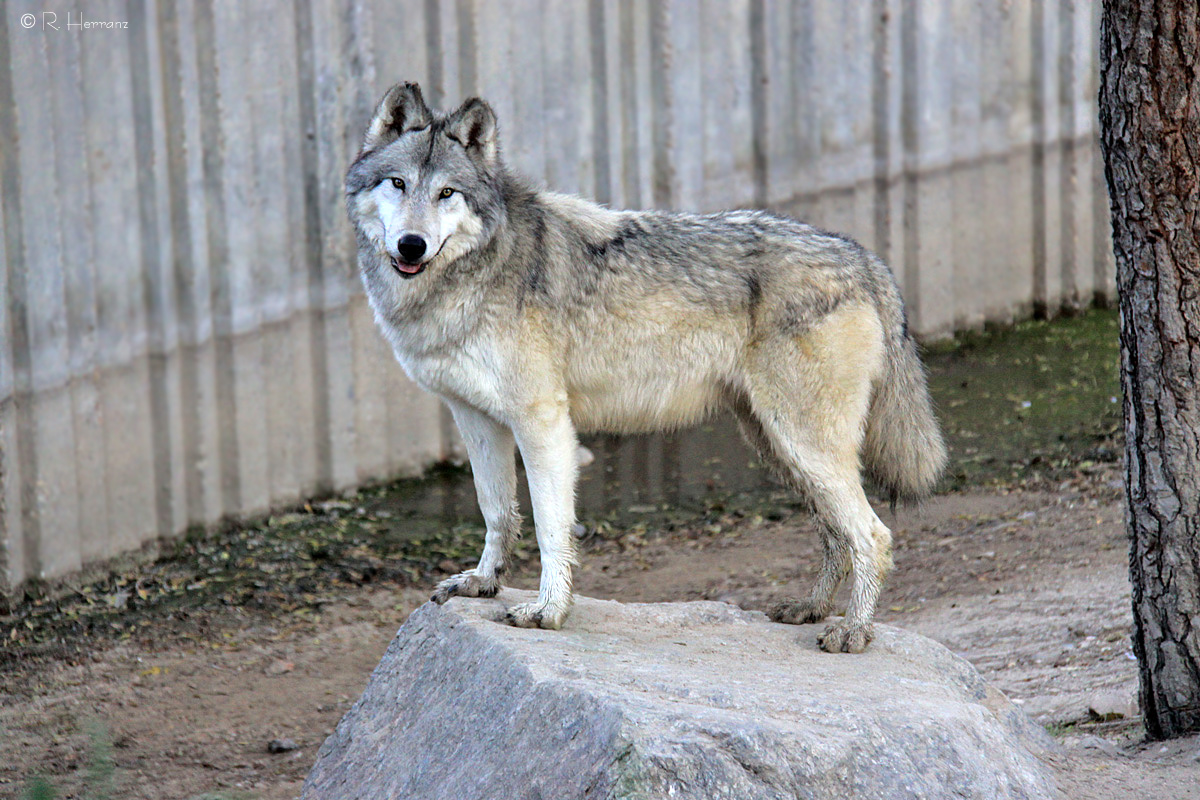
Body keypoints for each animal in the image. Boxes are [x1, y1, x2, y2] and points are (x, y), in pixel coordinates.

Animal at [345, 82, 946, 653]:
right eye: (397, 184)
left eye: (447, 193)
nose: (412, 245)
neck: (475, 273)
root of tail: (864, 257)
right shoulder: (476, 419)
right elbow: (496, 512)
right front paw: (482, 582)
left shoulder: (542, 423)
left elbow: (549, 527)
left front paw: (548, 611)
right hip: (779, 447)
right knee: (835, 535)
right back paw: (810, 610)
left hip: (803, 443)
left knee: (873, 535)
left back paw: (853, 633)